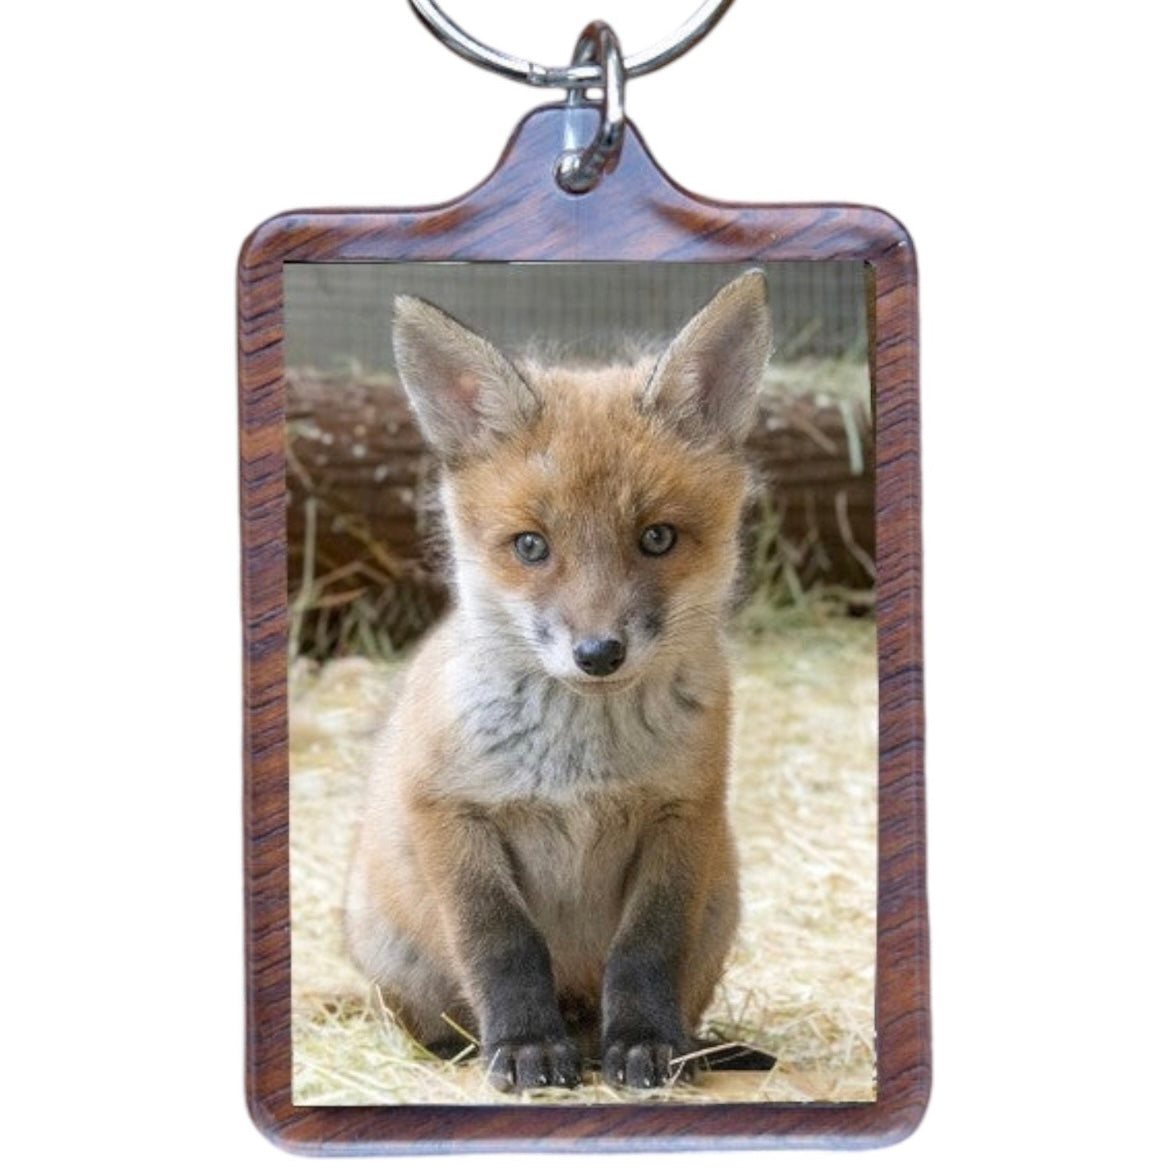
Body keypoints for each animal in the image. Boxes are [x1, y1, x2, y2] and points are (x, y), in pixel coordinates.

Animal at [344, 270, 773, 1092]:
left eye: (657, 537)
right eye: (531, 546)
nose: (598, 653)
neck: (581, 765)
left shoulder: (684, 815)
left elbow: (646, 950)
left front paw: (645, 1045)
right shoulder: (452, 813)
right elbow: (504, 947)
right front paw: (525, 1048)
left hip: (723, 898)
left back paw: (687, 1046)